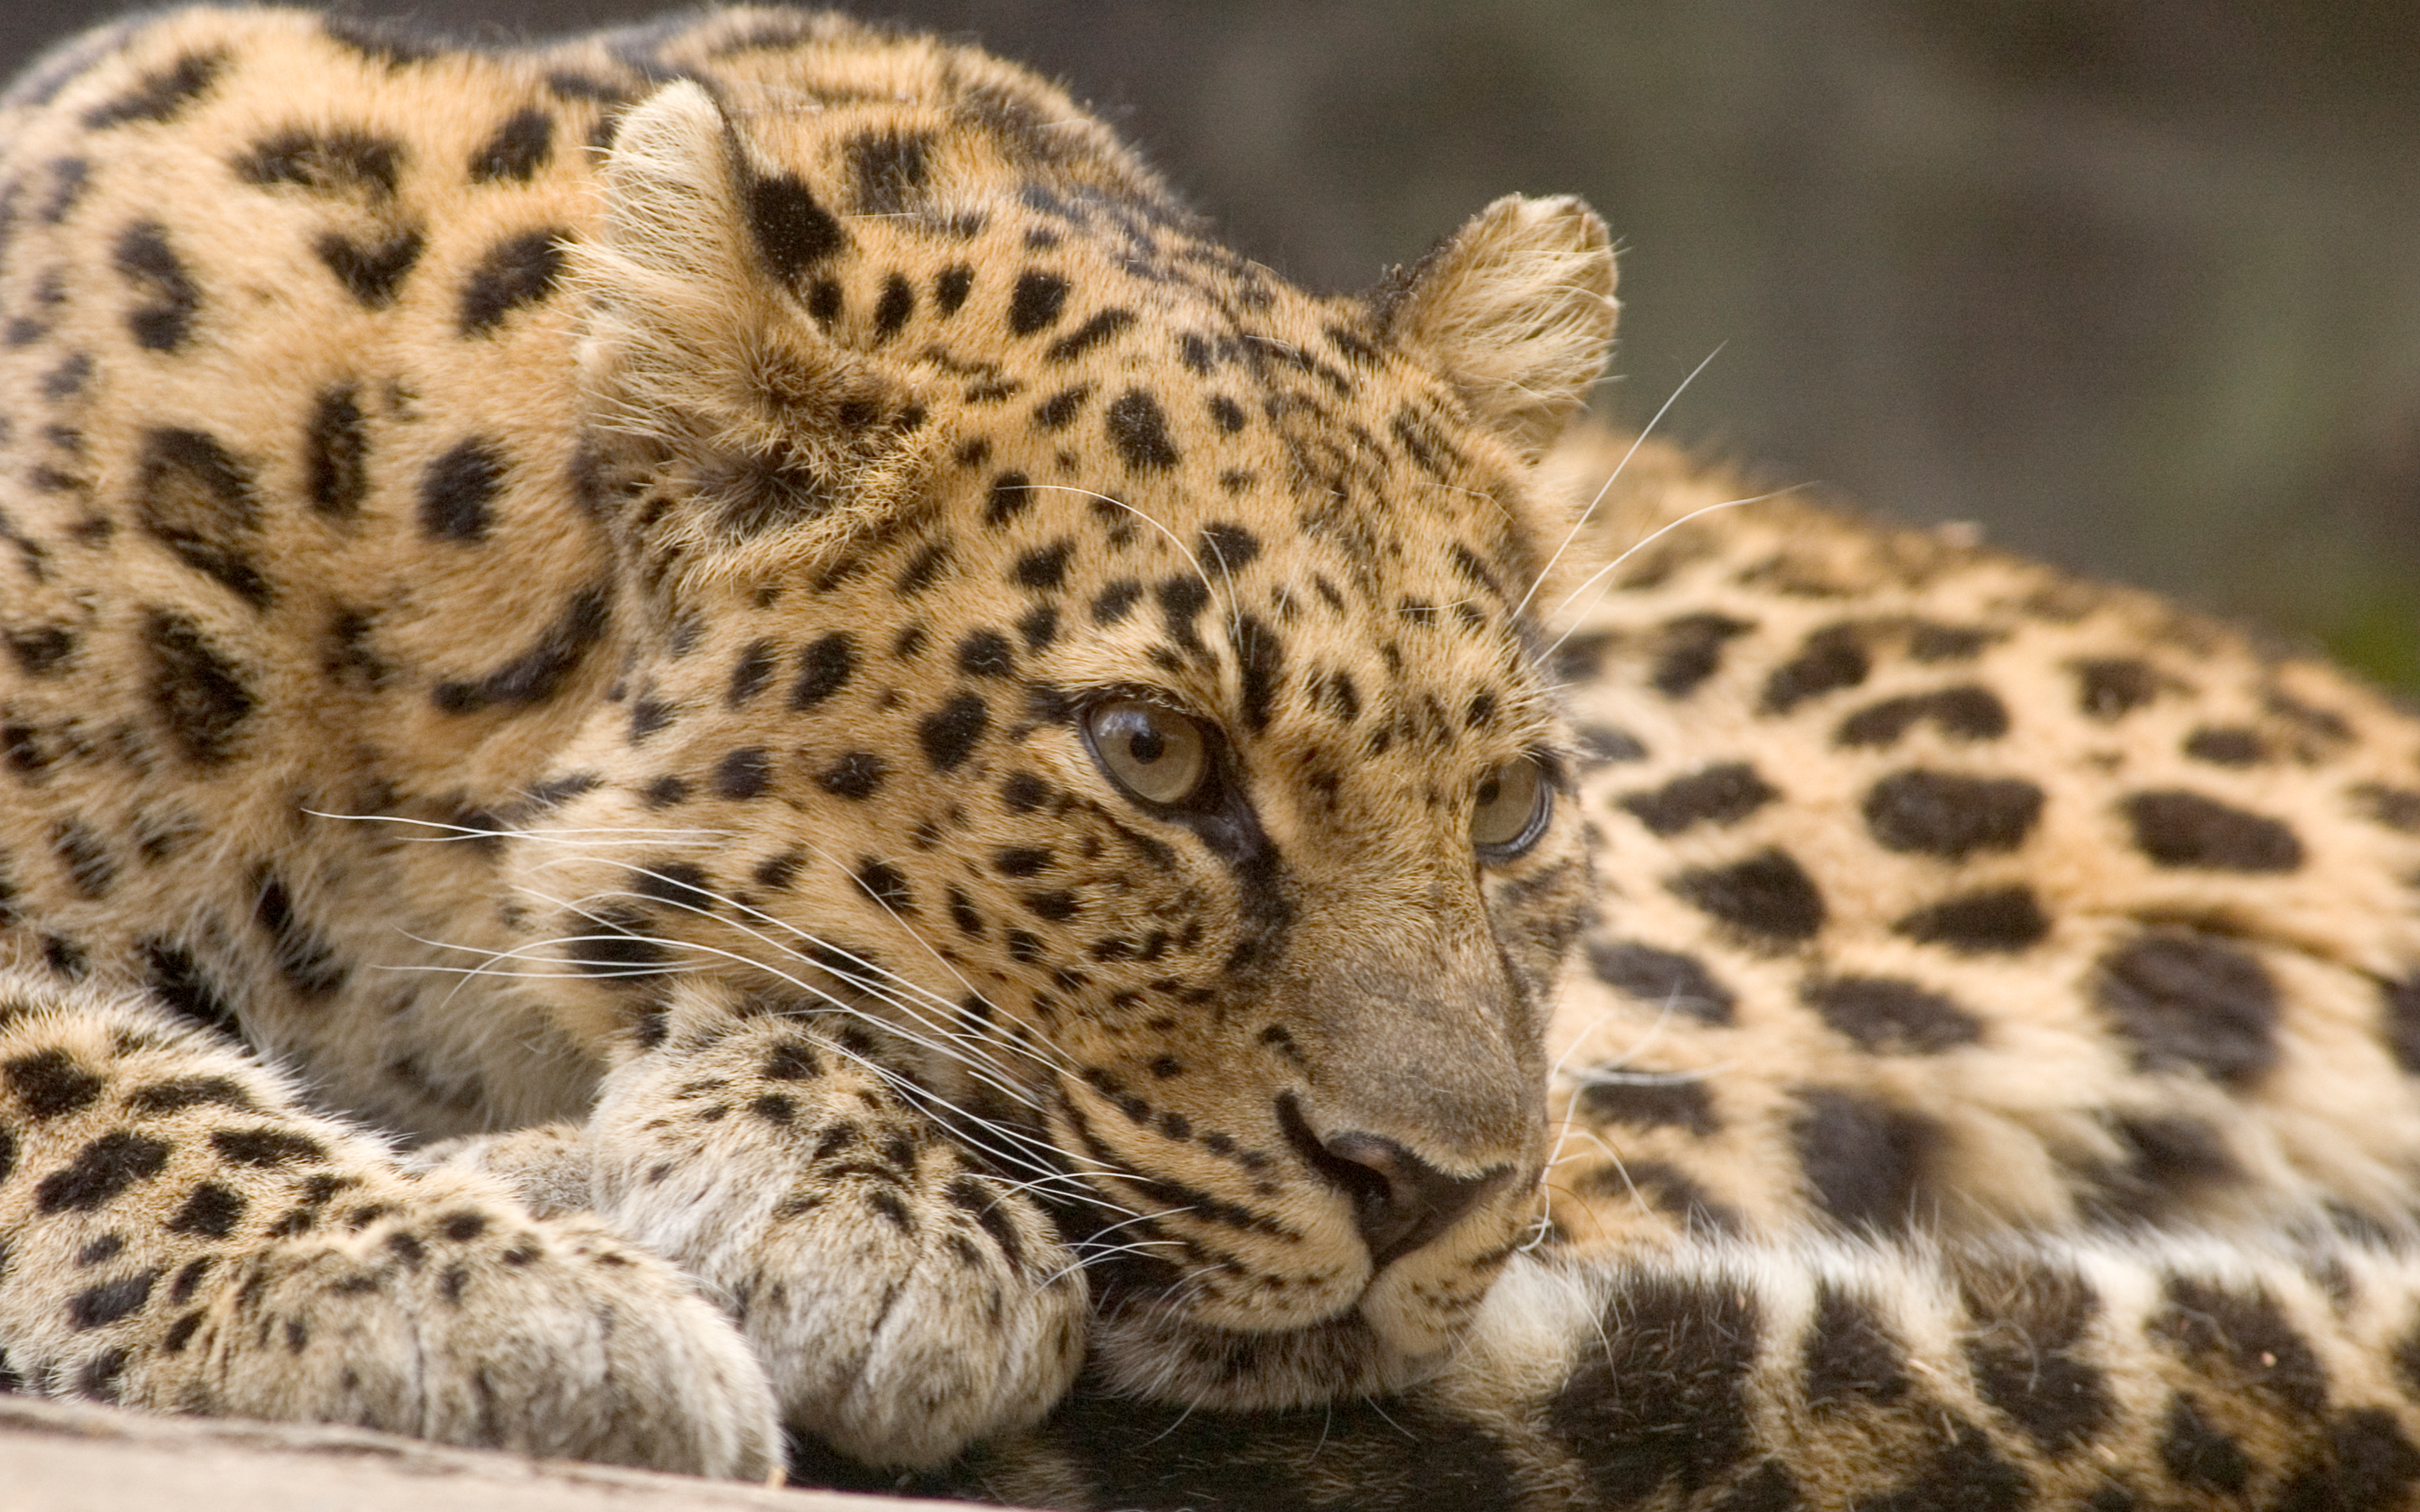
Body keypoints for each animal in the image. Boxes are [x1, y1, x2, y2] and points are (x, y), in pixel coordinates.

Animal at [7, 8, 2420, 1511]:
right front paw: (499, 1290)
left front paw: (804, 1210)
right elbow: (75, 1073)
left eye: (1510, 805)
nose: (1426, 1189)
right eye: (1154, 758)